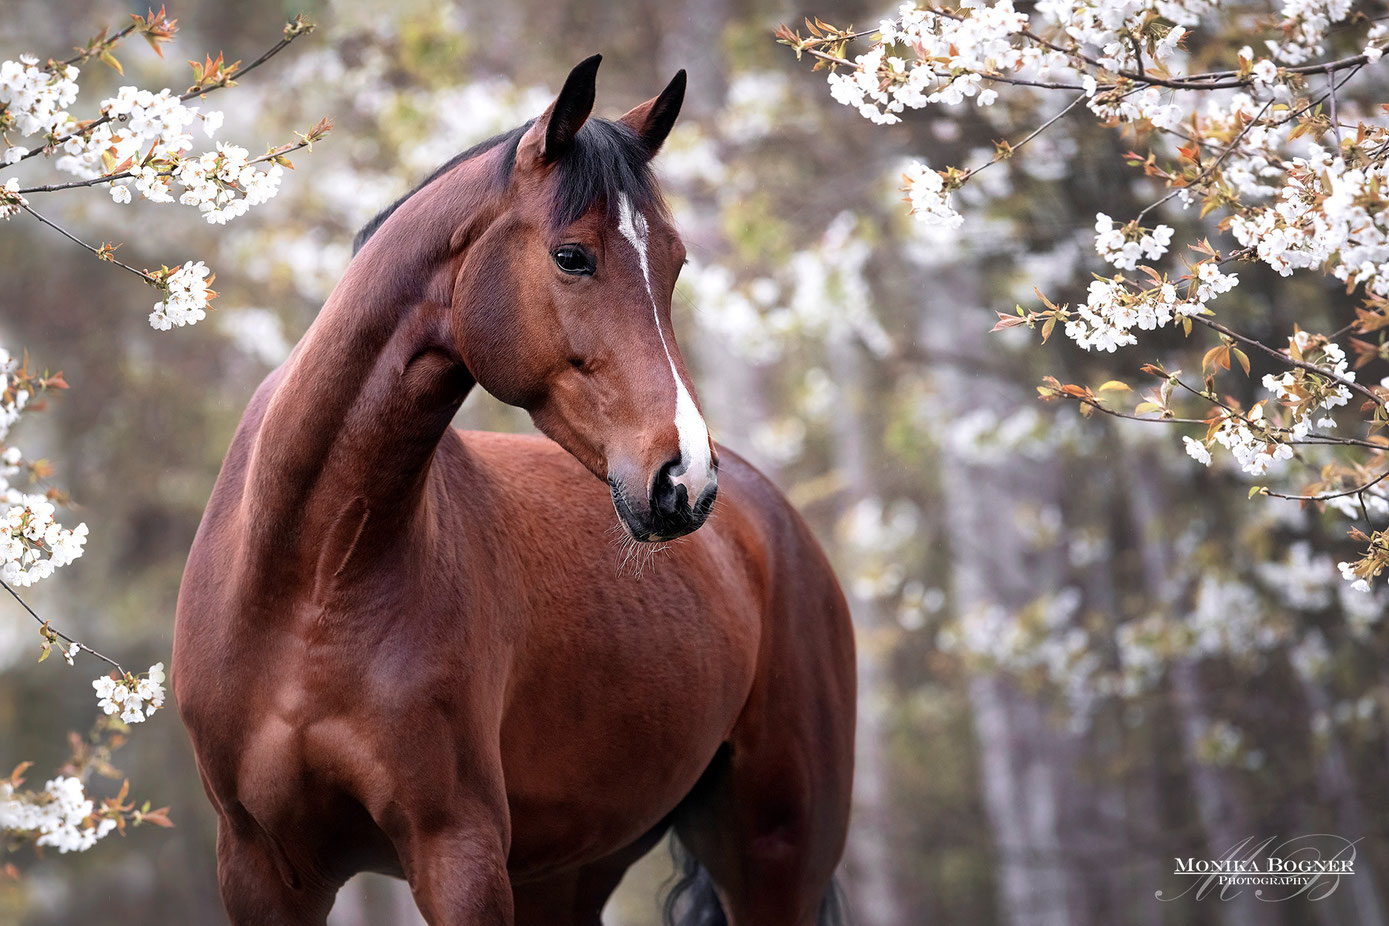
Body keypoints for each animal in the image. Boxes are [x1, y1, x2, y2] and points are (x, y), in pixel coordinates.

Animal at [172, 55, 856, 926]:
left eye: (673, 263)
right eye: (572, 257)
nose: (686, 480)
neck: (311, 579)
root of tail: (772, 523)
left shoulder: (455, 850)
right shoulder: (260, 868)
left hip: (775, 858)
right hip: (569, 875)